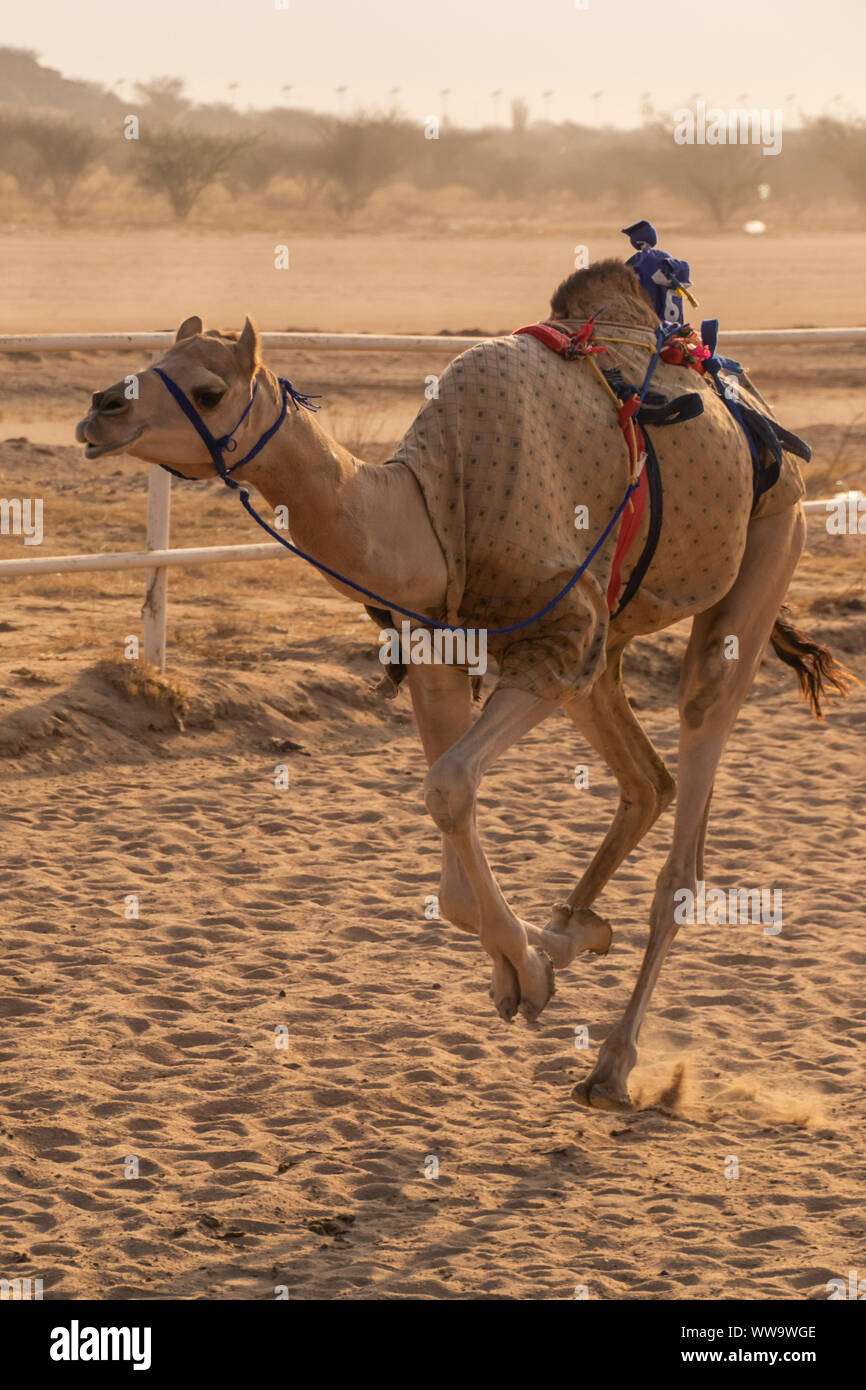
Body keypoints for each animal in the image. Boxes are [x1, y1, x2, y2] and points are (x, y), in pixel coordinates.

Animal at [75, 261, 851, 1111]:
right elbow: (448, 835)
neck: (427, 510)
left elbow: (448, 786)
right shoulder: (441, 644)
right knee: (648, 781)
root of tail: (762, 425)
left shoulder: (557, 636)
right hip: (611, 641)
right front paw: (528, 967)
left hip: (767, 545)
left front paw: (533, 974)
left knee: (691, 789)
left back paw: (613, 1066)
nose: (101, 409)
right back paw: (577, 929)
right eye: (155, 360)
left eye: (209, 389)